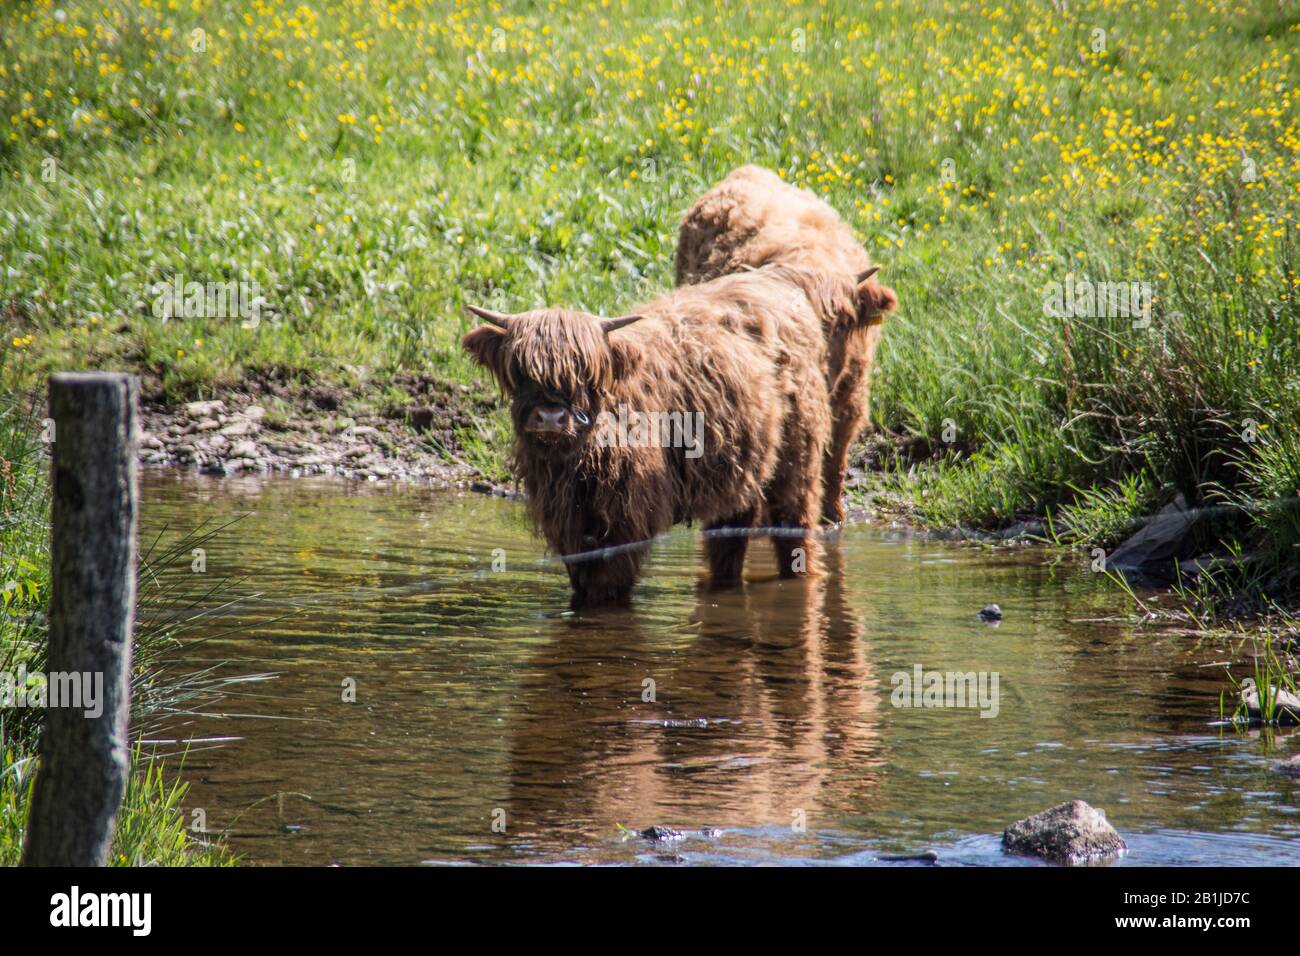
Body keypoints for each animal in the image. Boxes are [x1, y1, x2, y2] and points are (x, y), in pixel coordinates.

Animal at [461, 266, 837, 609]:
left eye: (585, 373)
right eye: (520, 369)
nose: (551, 418)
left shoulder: (628, 518)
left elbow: (606, 584)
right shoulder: (567, 520)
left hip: (798, 460)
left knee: (794, 526)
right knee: (731, 531)